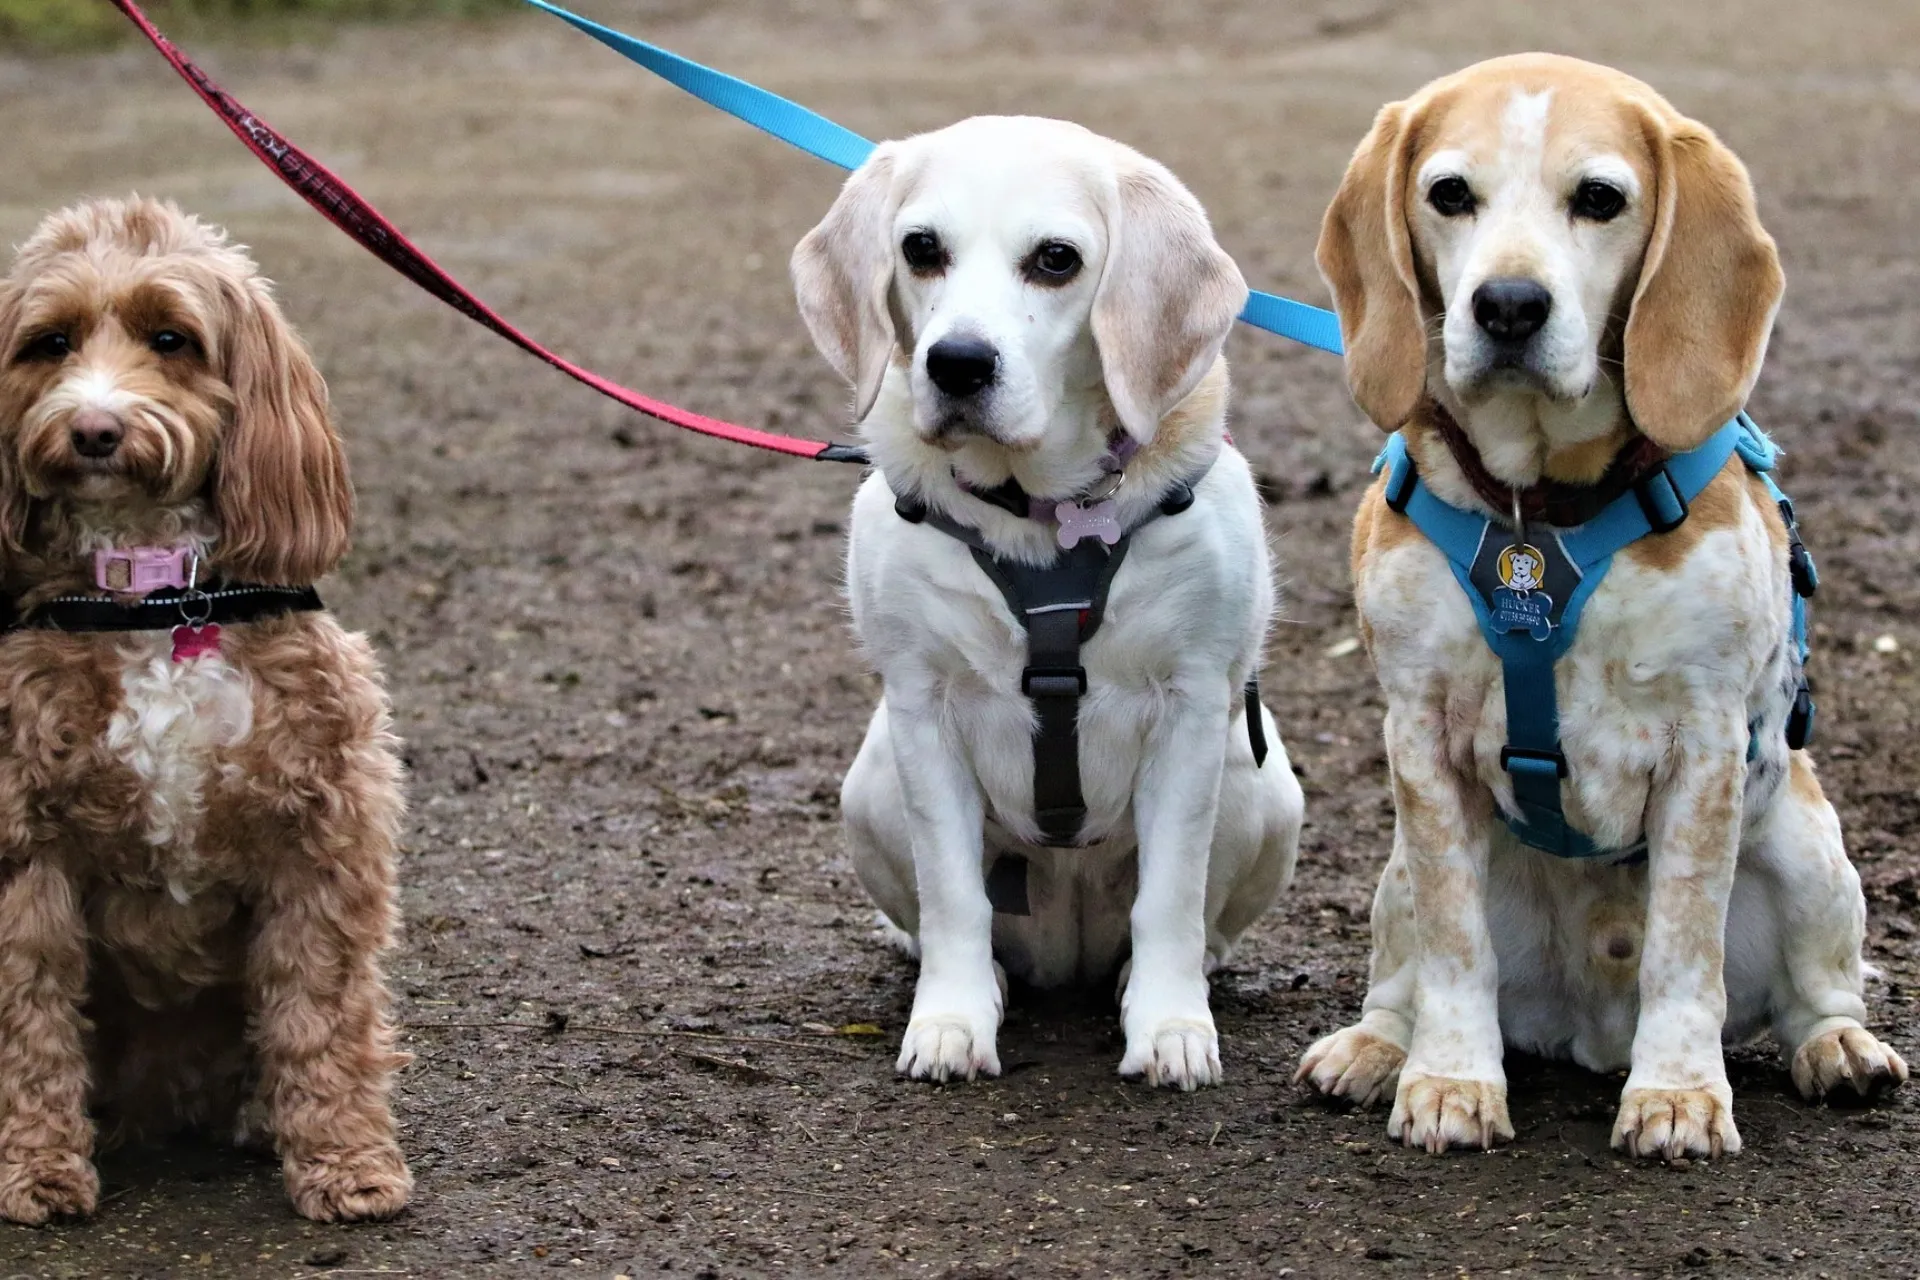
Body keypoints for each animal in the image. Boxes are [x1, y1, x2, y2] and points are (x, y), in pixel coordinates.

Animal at [0, 197, 408, 1220]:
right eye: (49, 343)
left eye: (171, 339)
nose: (94, 429)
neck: (154, 594)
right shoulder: (23, 848)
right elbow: (30, 1017)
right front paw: (36, 1167)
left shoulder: (323, 832)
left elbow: (323, 1011)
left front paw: (346, 1161)